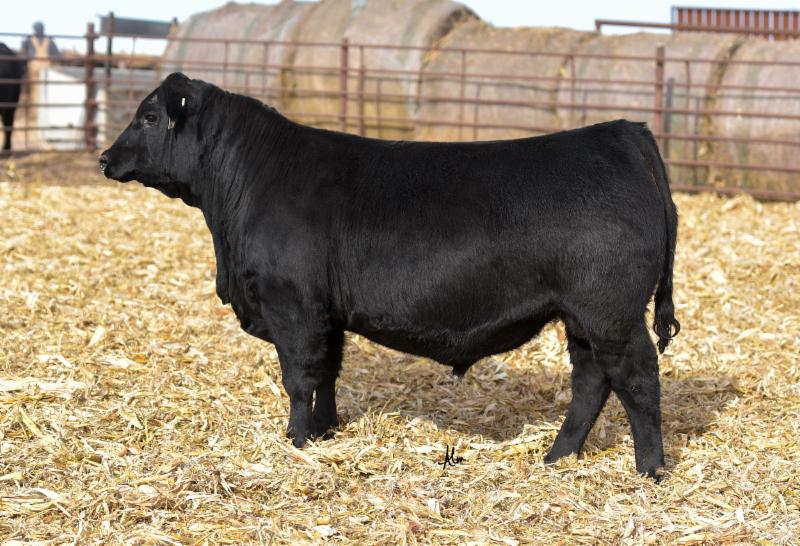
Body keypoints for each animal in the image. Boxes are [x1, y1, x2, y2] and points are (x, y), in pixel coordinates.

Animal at [100, 73, 680, 479]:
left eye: (148, 117)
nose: (105, 157)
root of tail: (621, 133)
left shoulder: (293, 306)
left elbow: (299, 376)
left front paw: (296, 440)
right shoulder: (326, 313)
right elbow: (328, 372)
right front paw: (326, 431)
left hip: (610, 312)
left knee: (636, 379)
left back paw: (649, 469)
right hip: (581, 317)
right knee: (592, 381)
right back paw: (558, 456)